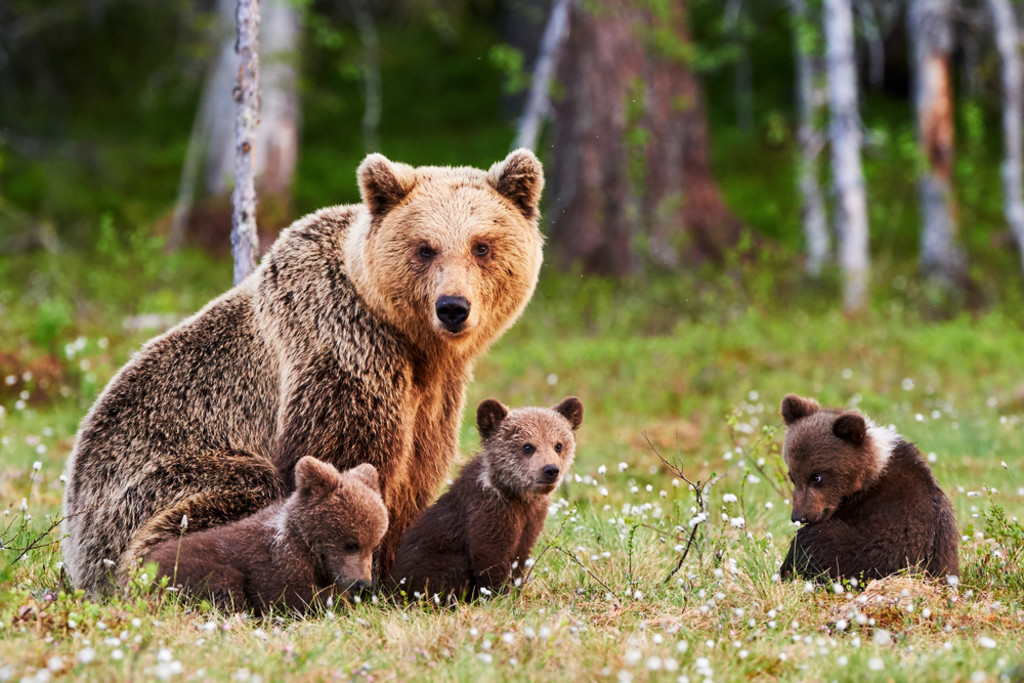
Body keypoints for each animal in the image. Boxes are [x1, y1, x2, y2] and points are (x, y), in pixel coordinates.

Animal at [62, 149, 545, 594]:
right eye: (425, 248)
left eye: (482, 246)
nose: (453, 307)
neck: (411, 342)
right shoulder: (341, 349)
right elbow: (345, 460)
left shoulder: (435, 395)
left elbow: (416, 474)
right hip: (150, 483)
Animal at [389, 396, 583, 600]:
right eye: (528, 446)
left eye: (558, 445)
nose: (551, 469)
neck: (516, 495)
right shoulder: (489, 514)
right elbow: (490, 559)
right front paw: (499, 595)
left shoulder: (531, 520)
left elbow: (520, 556)